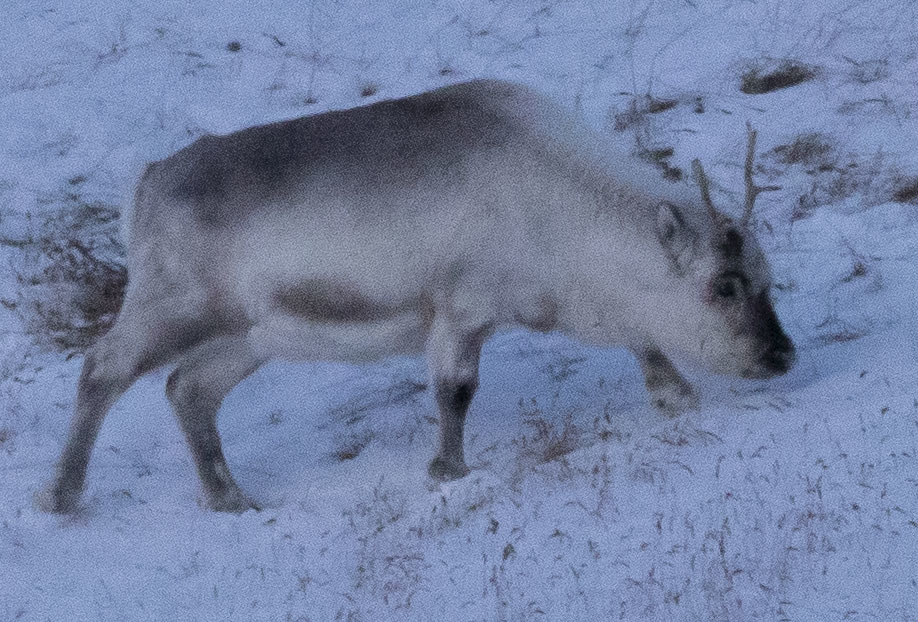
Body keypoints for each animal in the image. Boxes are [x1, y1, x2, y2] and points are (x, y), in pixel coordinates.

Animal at [36, 79, 795, 513]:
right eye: (723, 284)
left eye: (767, 278)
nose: (782, 355)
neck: (565, 214)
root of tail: (144, 186)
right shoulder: (457, 308)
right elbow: (455, 392)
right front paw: (447, 468)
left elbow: (642, 336)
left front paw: (675, 394)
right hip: (173, 306)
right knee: (103, 367)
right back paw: (61, 495)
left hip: (249, 338)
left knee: (187, 389)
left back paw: (230, 498)